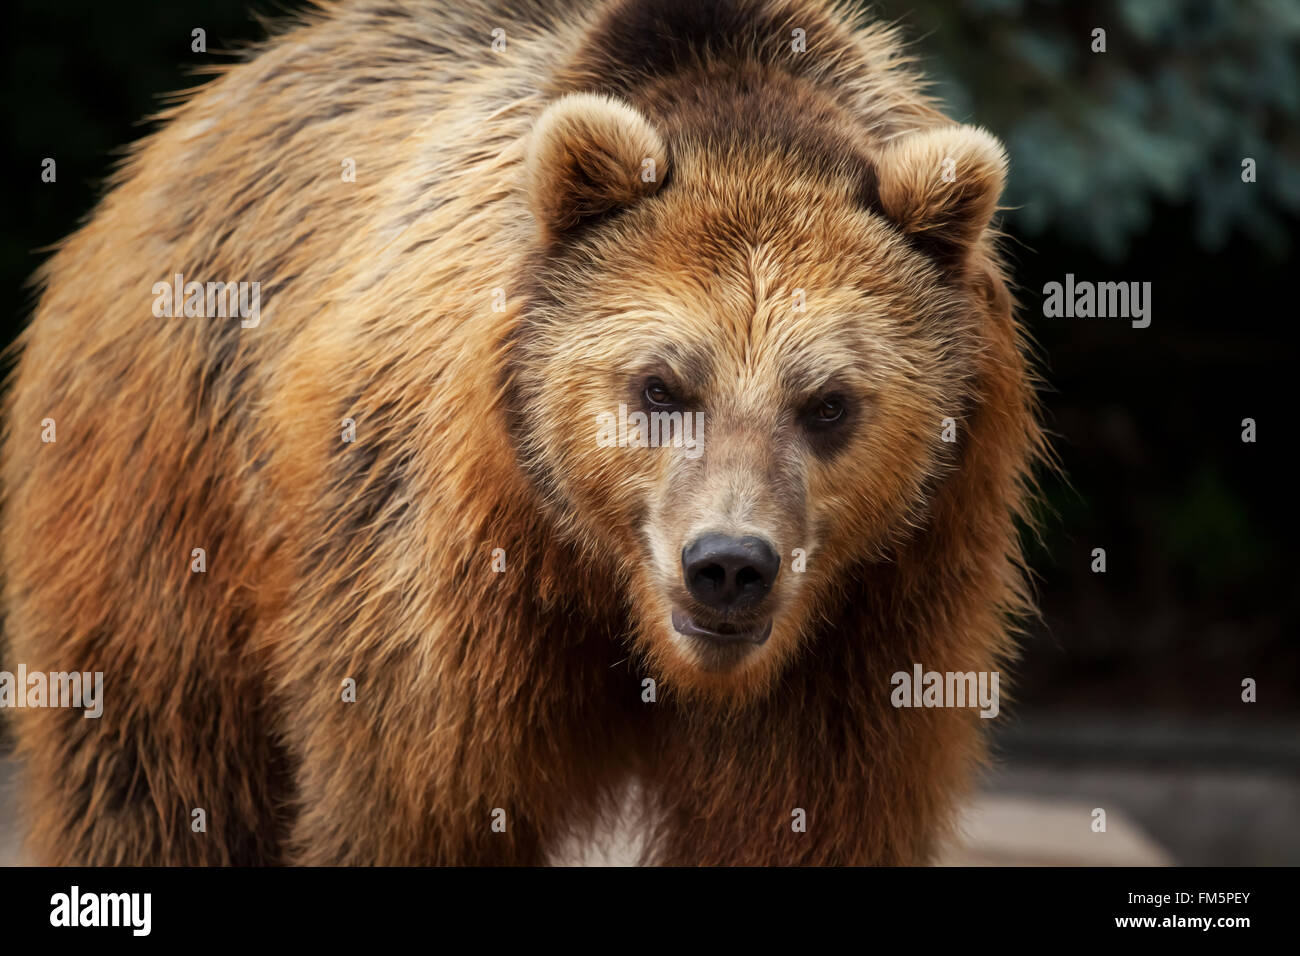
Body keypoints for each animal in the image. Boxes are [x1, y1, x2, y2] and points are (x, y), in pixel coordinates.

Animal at [1, 0, 1044, 865]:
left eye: (827, 403)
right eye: (662, 386)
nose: (728, 564)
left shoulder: (882, 608)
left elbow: (808, 817)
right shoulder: (451, 571)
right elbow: (424, 802)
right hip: (167, 480)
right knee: (152, 767)